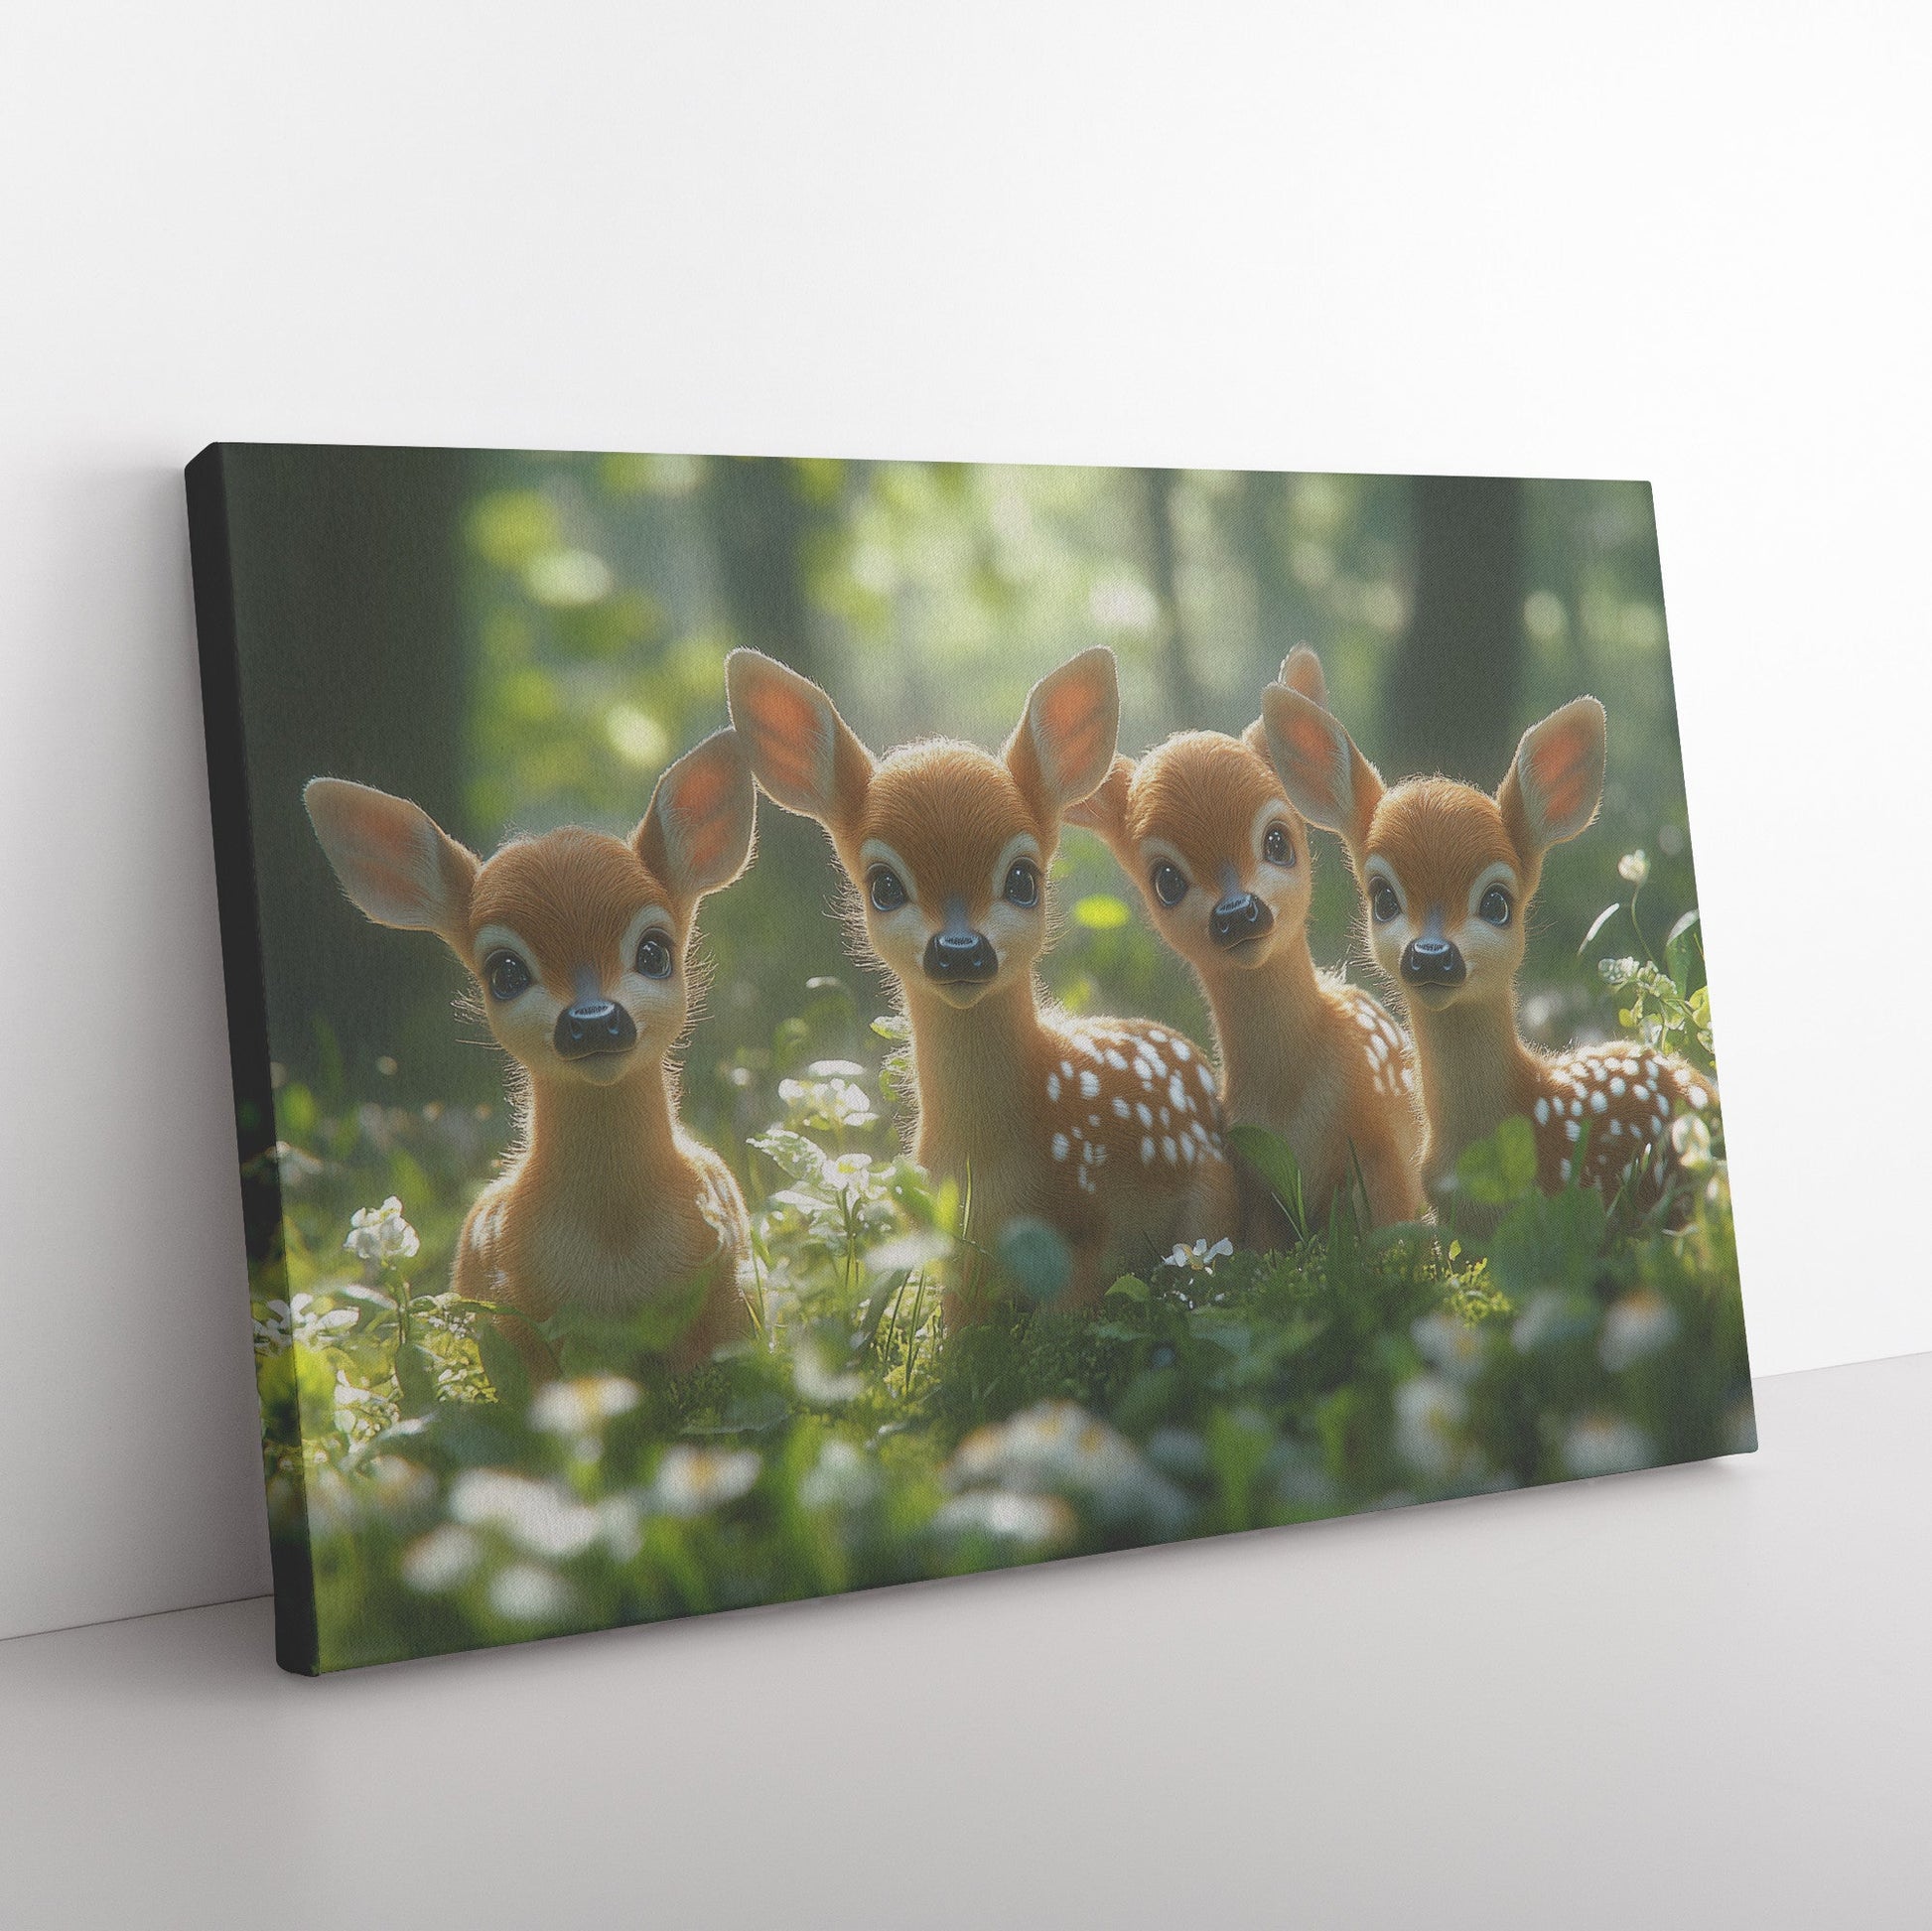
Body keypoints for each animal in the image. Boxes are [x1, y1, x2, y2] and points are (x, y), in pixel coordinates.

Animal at [303, 727, 759, 1379]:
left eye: (654, 951)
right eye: (506, 972)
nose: (593, 1021)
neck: (614, 1241)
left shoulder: (731, 1290)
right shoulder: (514, 1317)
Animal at [725, 643, 1238, 1315]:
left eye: (1023, 877)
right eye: (883, 885)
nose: (961, 950)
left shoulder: (1089, 1220)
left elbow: (1065, 1315)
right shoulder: (952, 1241)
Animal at [1067, 646, 1426, 1245]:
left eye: (1277, 841)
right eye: (1167, 879)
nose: (1237, 913)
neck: (1291, 1098)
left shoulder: (1381, 1141)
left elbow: (1395, 1228)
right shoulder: (1254, 1174)